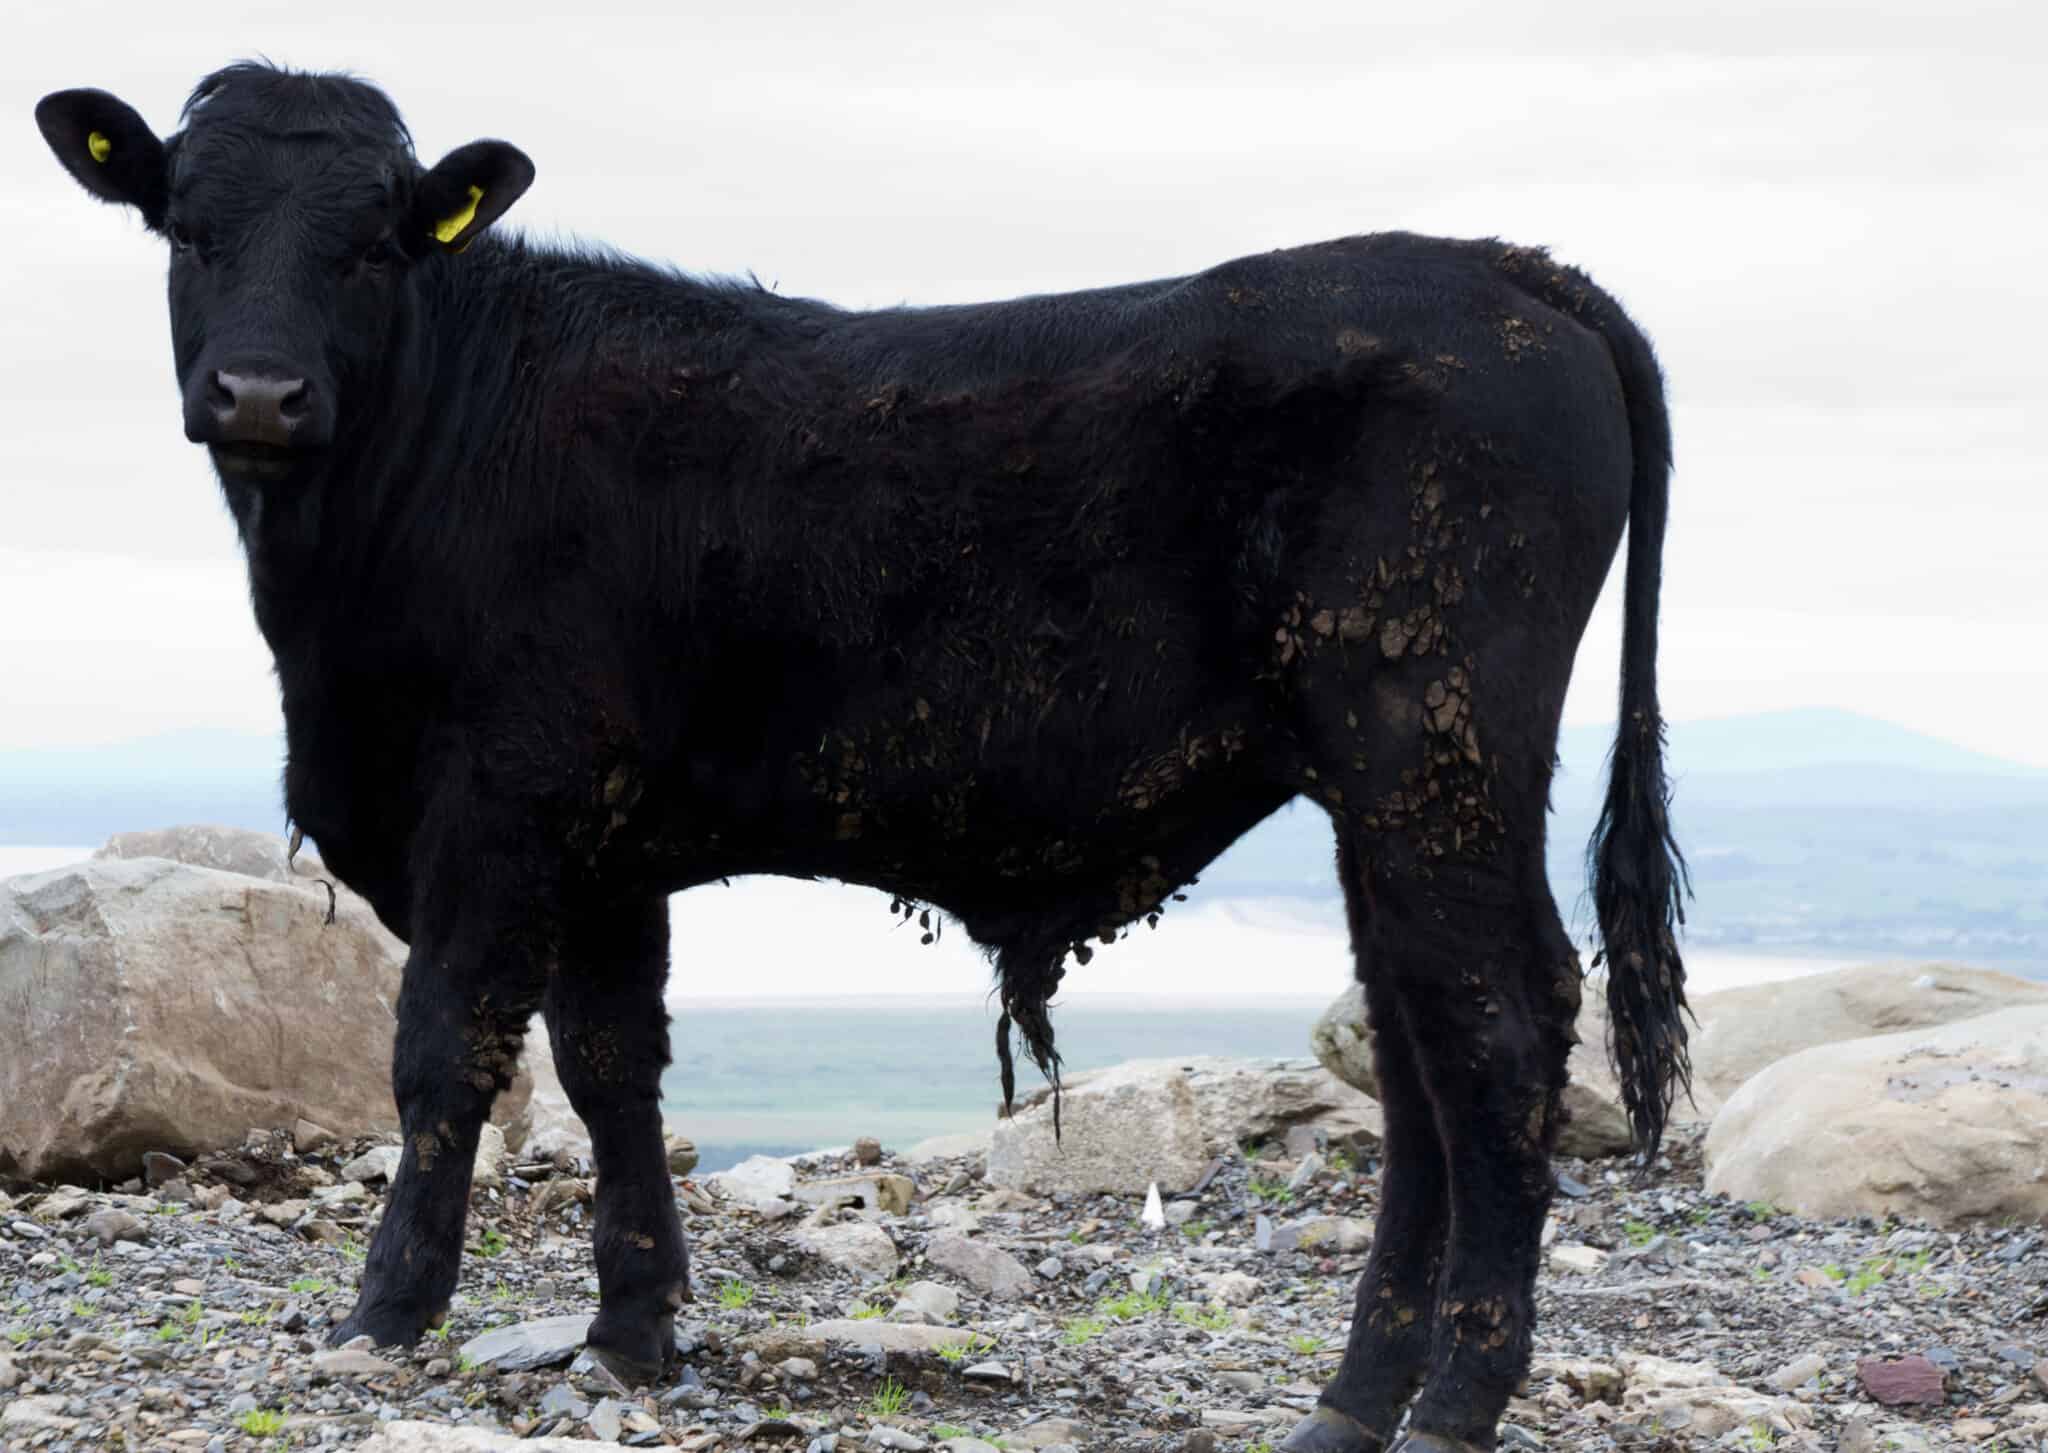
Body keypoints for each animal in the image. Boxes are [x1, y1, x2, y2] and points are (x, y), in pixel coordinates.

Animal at [36, 63, 1689, 1453]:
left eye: (375, 246)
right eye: (186, 227)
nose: (259, 395)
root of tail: (1507, 267)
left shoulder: (503, 799)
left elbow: (444, 1048)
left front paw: (385, 1309)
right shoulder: (608, 847)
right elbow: (612, 1063)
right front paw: (633, 1330)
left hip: (1435, 749)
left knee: (1500, 1023)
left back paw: (1457, 1401)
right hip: (1377, 788)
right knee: (1417, 1048)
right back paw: (1353, 1399)